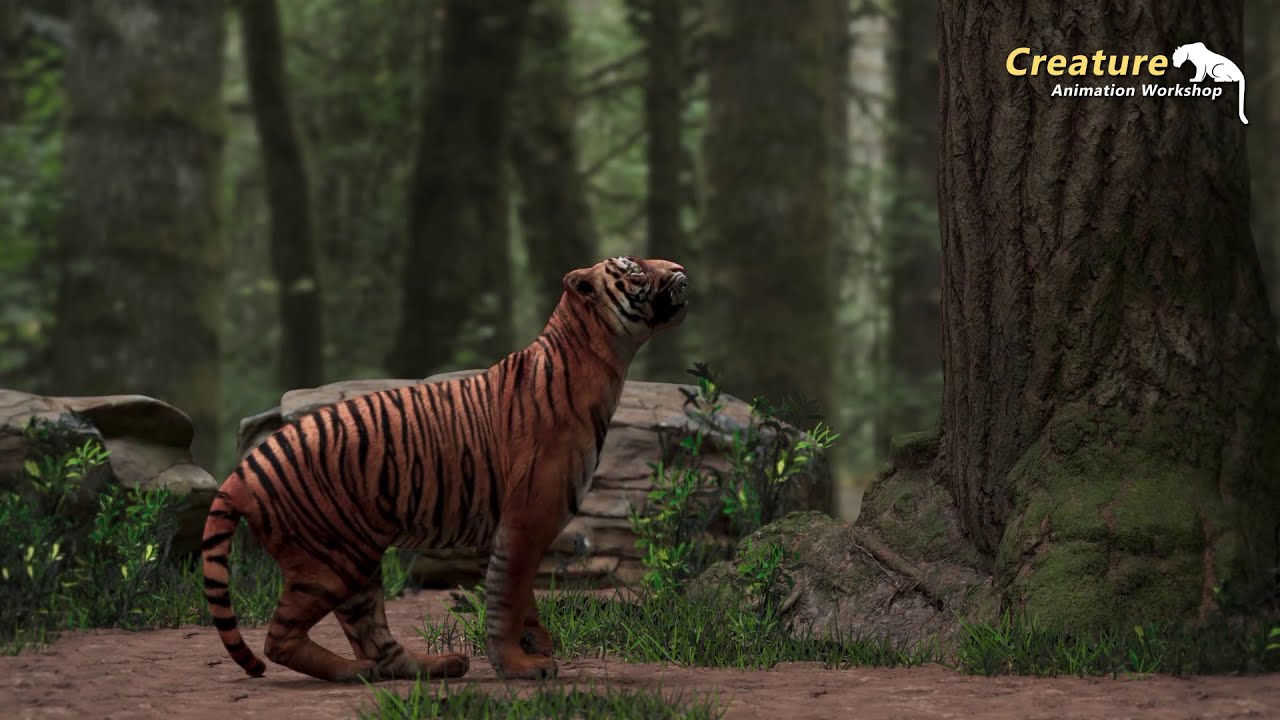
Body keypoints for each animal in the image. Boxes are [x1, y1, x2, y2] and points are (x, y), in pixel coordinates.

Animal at [201, 257, 688, 682]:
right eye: (637, 270)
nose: (681, 270)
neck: (602, 358)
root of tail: (240, 471)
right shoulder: (526, 518)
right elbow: (507, 596)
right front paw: (518, 665)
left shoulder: (513, 527)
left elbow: (520, 592)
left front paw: (534, 643)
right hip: (327, 562)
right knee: (278, 639)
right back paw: (353, 672)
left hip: (355, 560)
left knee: (373, 635)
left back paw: (429, 666)